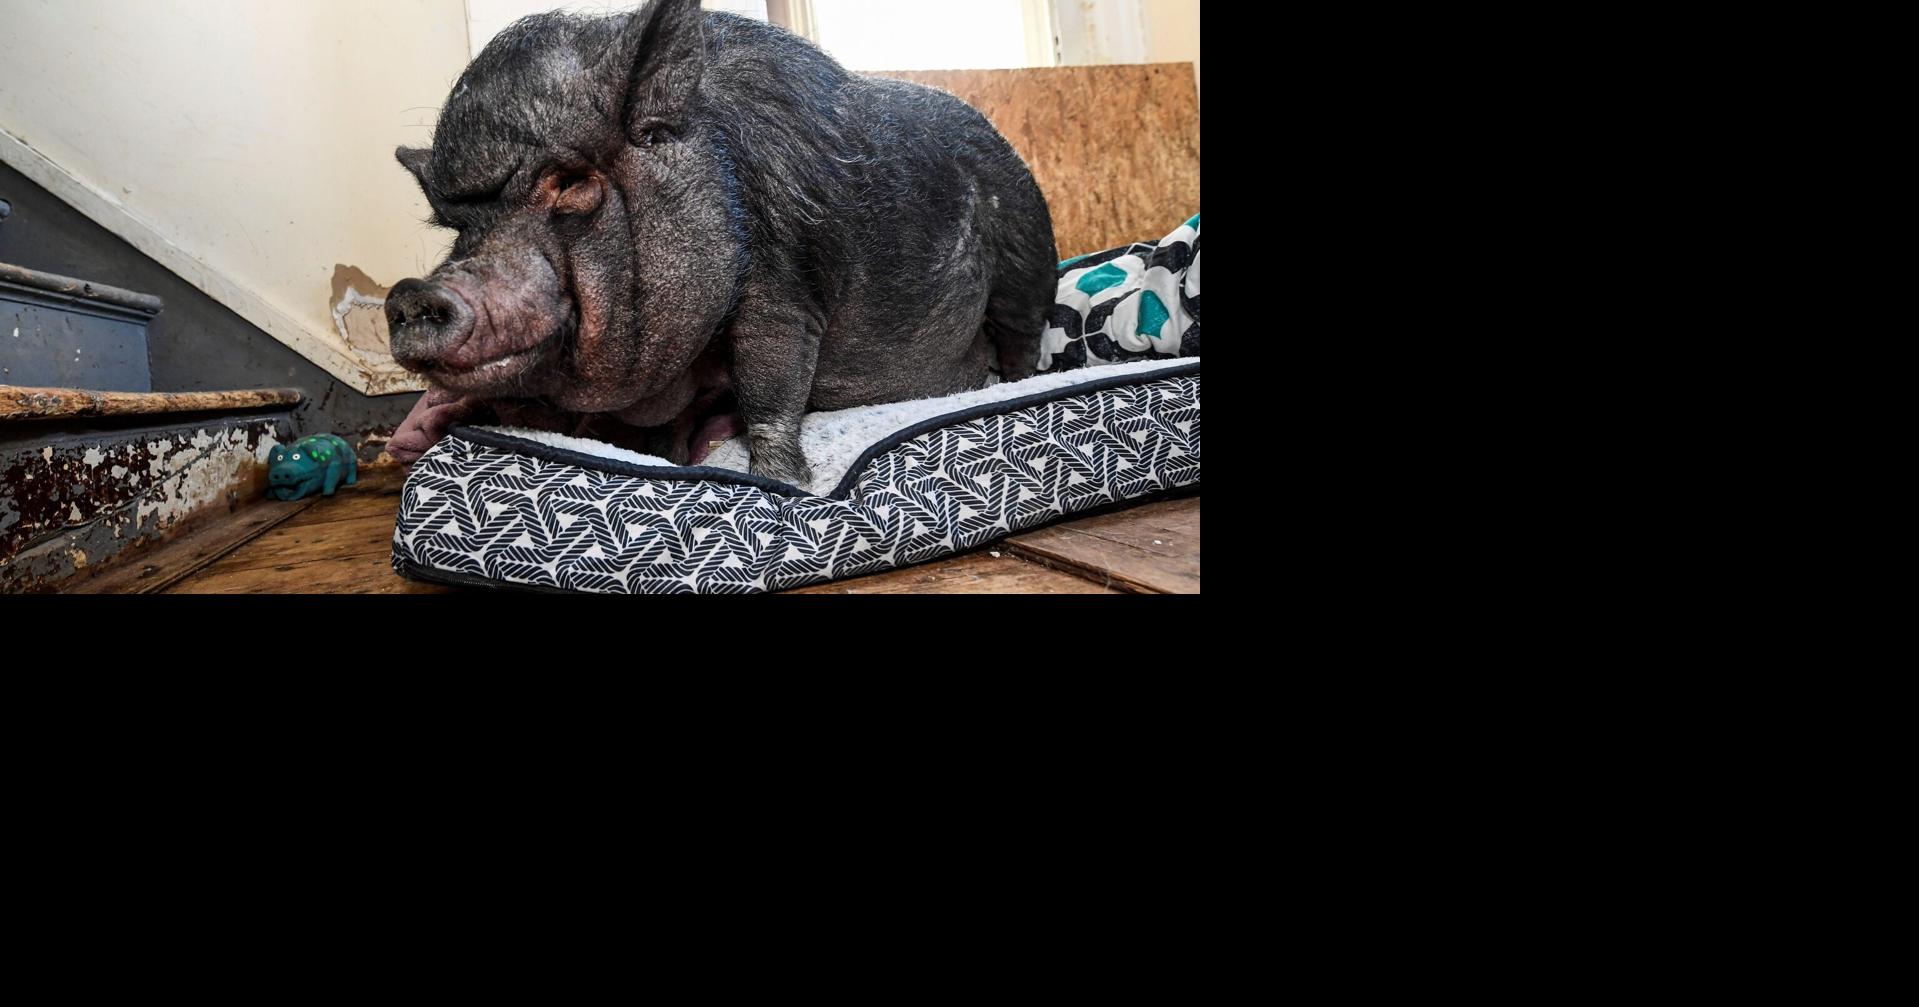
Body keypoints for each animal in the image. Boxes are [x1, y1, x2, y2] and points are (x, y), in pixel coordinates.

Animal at [384, 0, 1057, 486]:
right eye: (455, 226)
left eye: (569, 182)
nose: (410, 294)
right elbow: (665, 431)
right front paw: (672, 460)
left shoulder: (787, 288)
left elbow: (770, 385)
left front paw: (785, 484)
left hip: (1027, 261)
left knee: (1023, 343)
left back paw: (1008, 385)